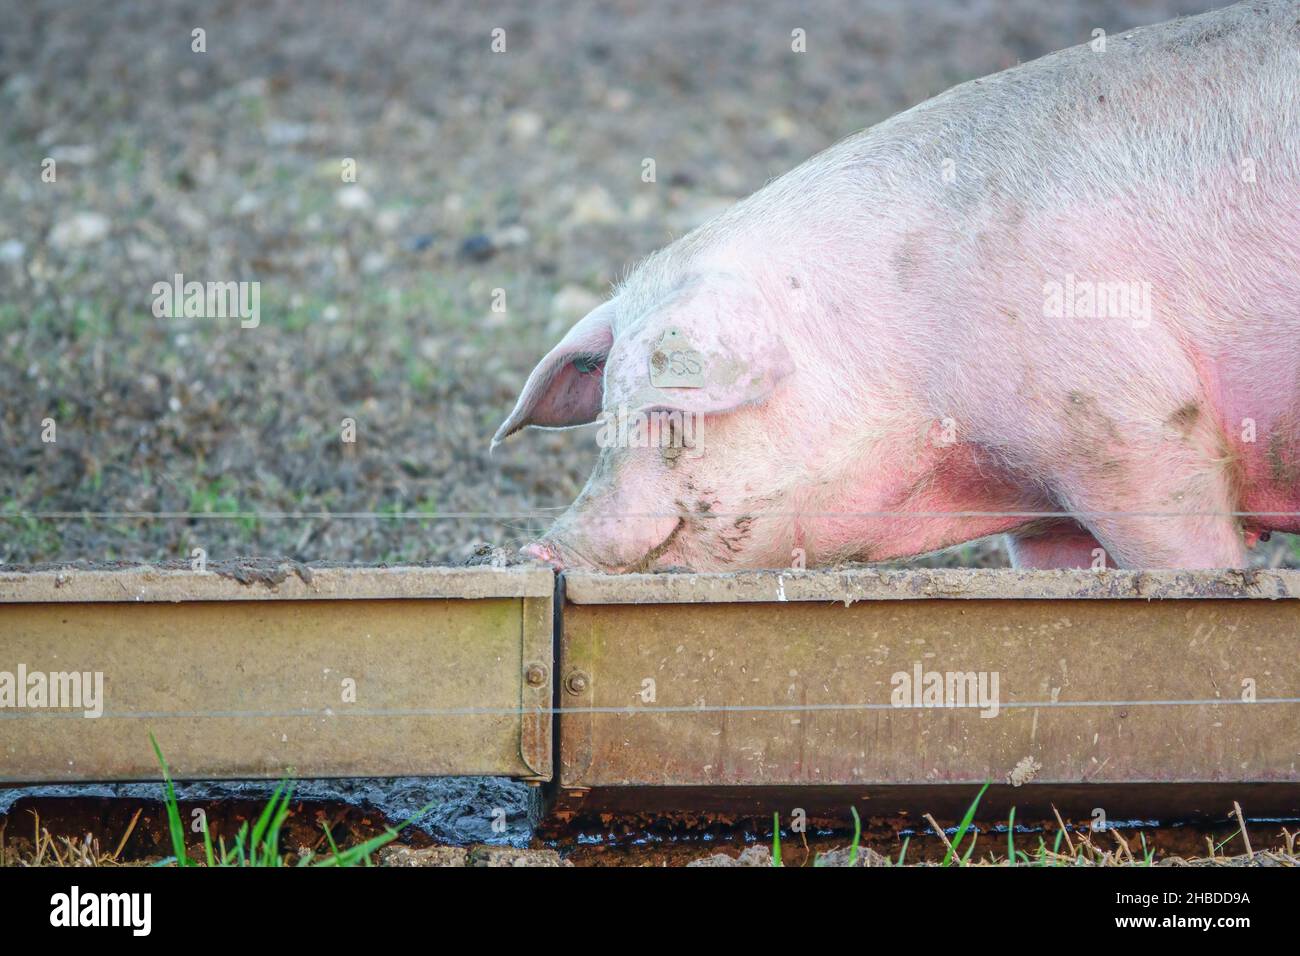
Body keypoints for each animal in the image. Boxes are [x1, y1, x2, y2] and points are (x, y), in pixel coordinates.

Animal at [494, 0, 1300, 572]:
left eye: (668, 415)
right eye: (605, 417)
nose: (540, 547)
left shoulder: (1136, 424)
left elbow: (1192, 558)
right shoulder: (1054, 512)